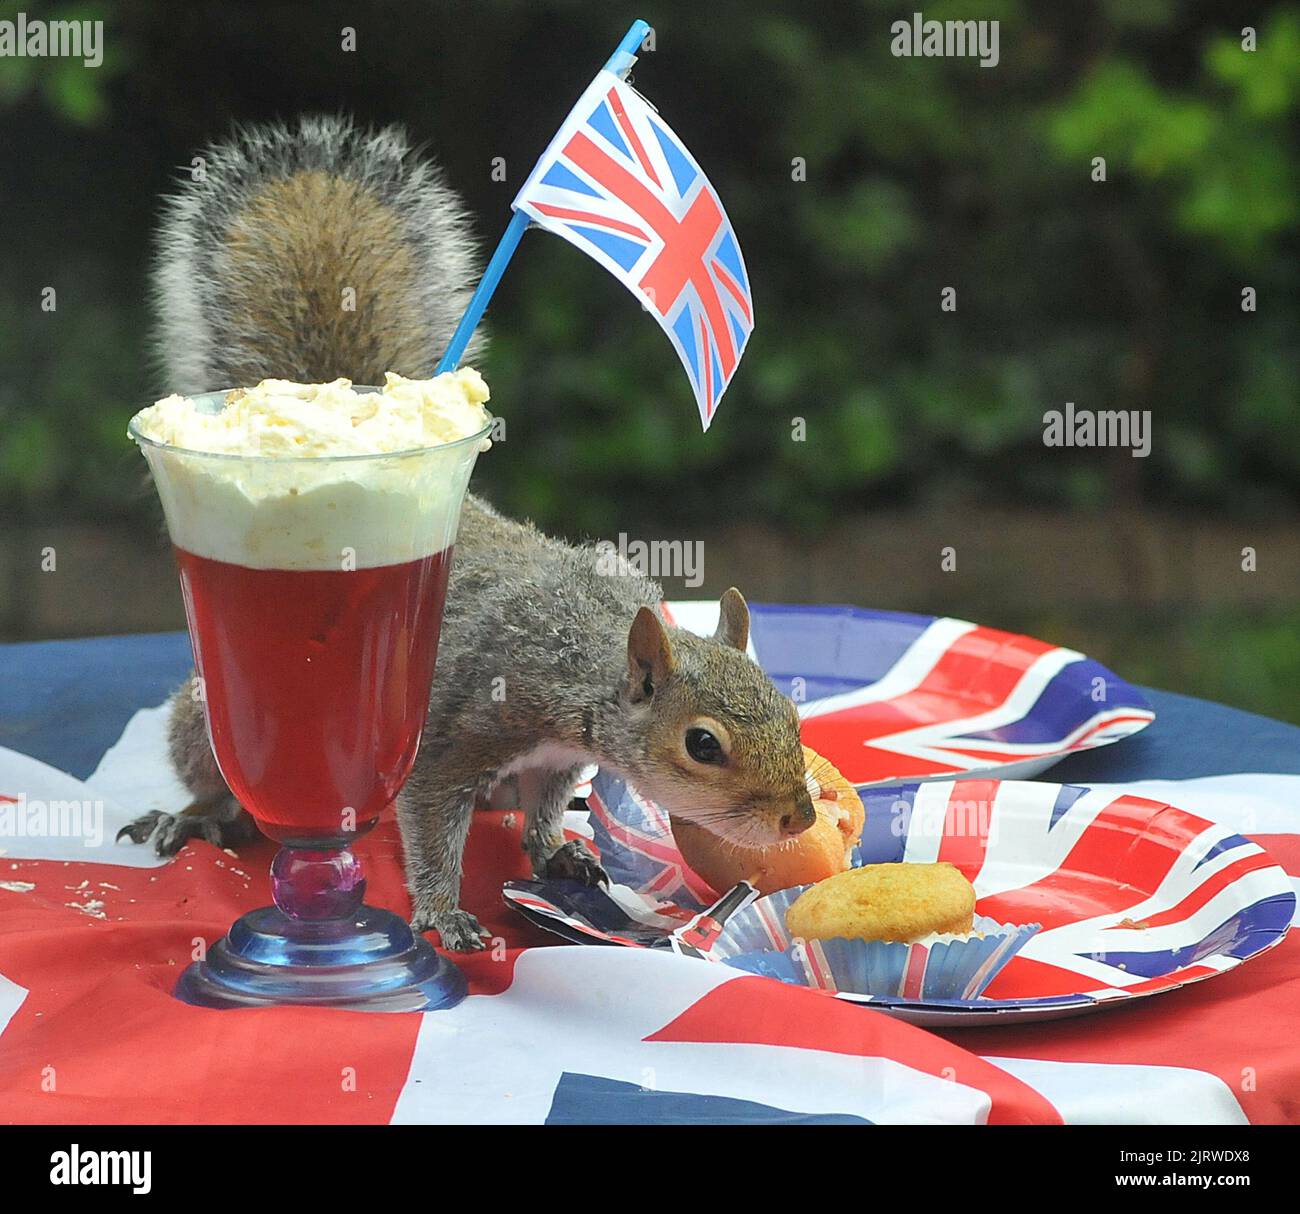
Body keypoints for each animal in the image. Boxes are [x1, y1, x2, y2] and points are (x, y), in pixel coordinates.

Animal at [119, 115, 815, 951]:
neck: (585, 658)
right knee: (217, 778)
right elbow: (429, 820)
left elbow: (543, 806)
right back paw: (190, 818)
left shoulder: (552, 758)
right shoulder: (463, 731)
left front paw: (555, 854)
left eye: (790, 712)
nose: (799, 815)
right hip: (212, 722)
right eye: (702, 745)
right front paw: (443, 913)